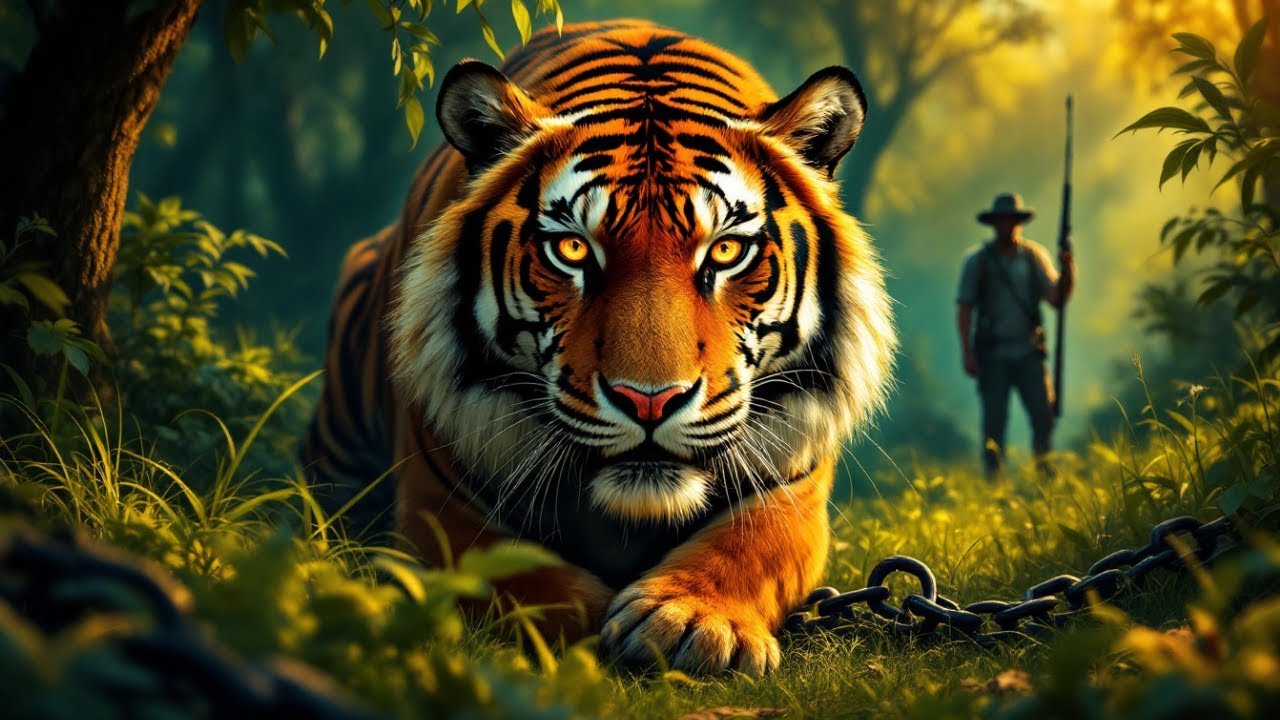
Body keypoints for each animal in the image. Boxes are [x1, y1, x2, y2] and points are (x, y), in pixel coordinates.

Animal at [303, 19, 896, 676]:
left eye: (724, 251)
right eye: (573, 250)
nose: (649, 401)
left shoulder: (793, 487)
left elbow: (754, 545)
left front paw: (690, 621)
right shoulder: (438, 505)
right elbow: (522, 582)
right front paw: (598, 633)